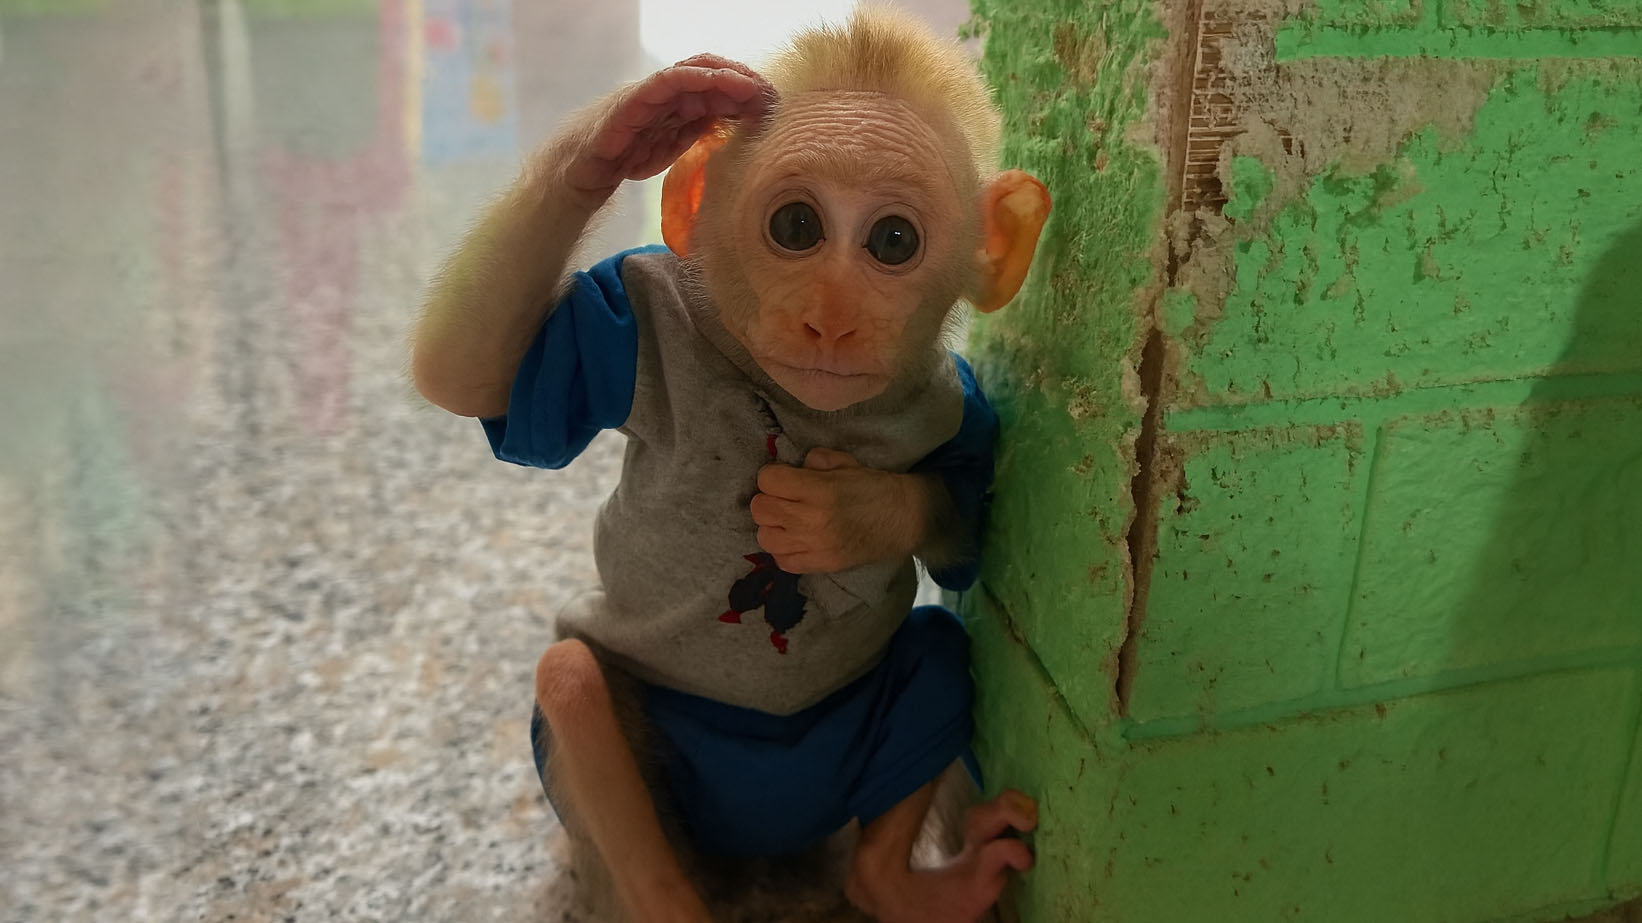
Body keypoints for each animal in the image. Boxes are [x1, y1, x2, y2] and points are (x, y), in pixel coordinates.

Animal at [411, 7, 1051, 922]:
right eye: (796, 228)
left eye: (894, 241)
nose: (831, 319)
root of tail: (776, 845)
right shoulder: (633, 312)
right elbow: (471, 372)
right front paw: (629, 127)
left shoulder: (963, 400)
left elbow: (967, 525)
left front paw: (849, 513)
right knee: (571, 680)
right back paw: (667, 897)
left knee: (936, 654)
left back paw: (897, 882)